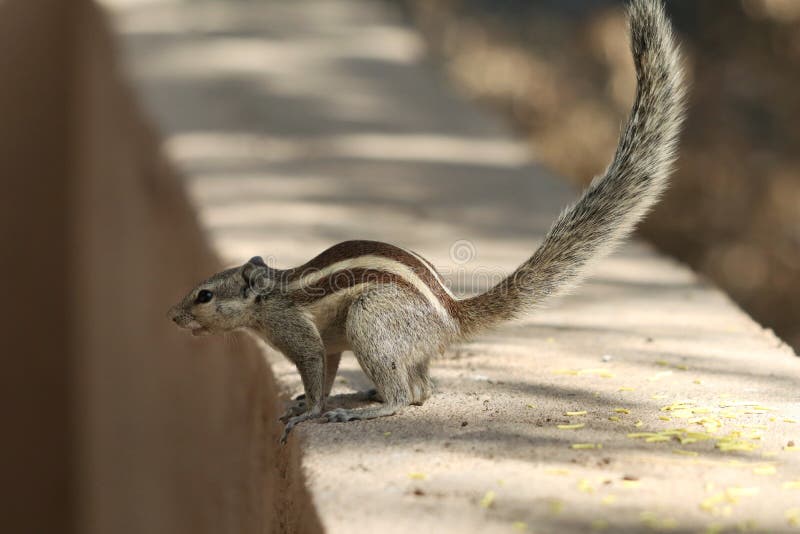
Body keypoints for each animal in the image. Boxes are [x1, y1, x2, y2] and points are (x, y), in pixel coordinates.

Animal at [168, 0, 685, 443]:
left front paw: (309, 411)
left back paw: (368, 407)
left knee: (407, 397)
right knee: (421, 391)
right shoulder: (330, 346)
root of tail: (450, 318)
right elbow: (326, 370)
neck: (268, 300)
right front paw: (306, 403)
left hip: (371, 321)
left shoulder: (301, 334)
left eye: (204, 295)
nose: (173, 316)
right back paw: (369, 392)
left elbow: (315, 372)